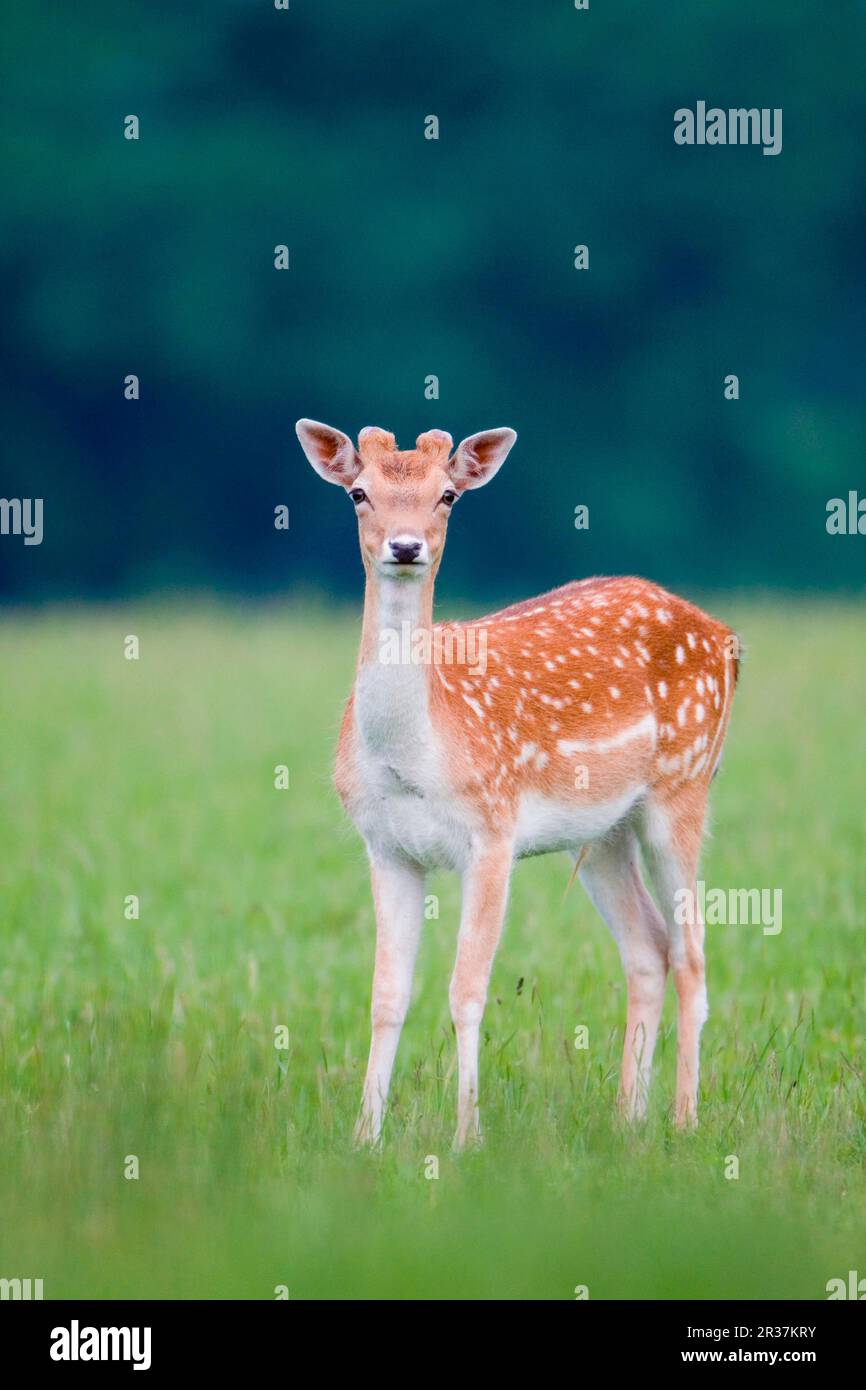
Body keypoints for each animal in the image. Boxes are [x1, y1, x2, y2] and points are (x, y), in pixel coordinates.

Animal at [295, 419, 739, 1149]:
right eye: (359, 493)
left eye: (447, 495)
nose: (406, 546)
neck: (415, 756)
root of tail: (729, 639)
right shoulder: (385, 845)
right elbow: (387, 995)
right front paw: (364, 1138)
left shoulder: (492, 829)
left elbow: (466, 989)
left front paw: (466, 1138)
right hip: (603, 831)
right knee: (649, 948)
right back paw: (627, 1118)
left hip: (684, 783)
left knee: (694, 952)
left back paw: (684, 1121)